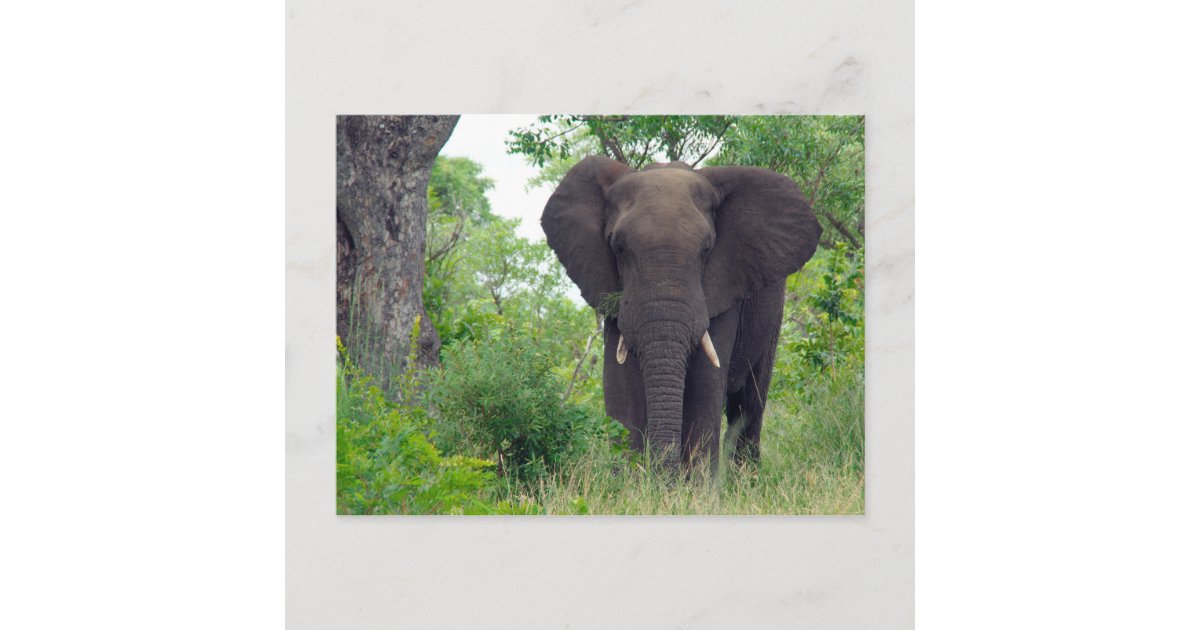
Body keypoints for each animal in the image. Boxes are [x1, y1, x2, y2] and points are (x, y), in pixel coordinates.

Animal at [541, 156, 822, 473]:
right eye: (619, 248)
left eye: (706, 249)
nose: (662, 475)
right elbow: (621, 386)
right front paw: (630, 481)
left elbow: (704, 384)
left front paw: (696, 485)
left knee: (750, 401)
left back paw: (745, 478)